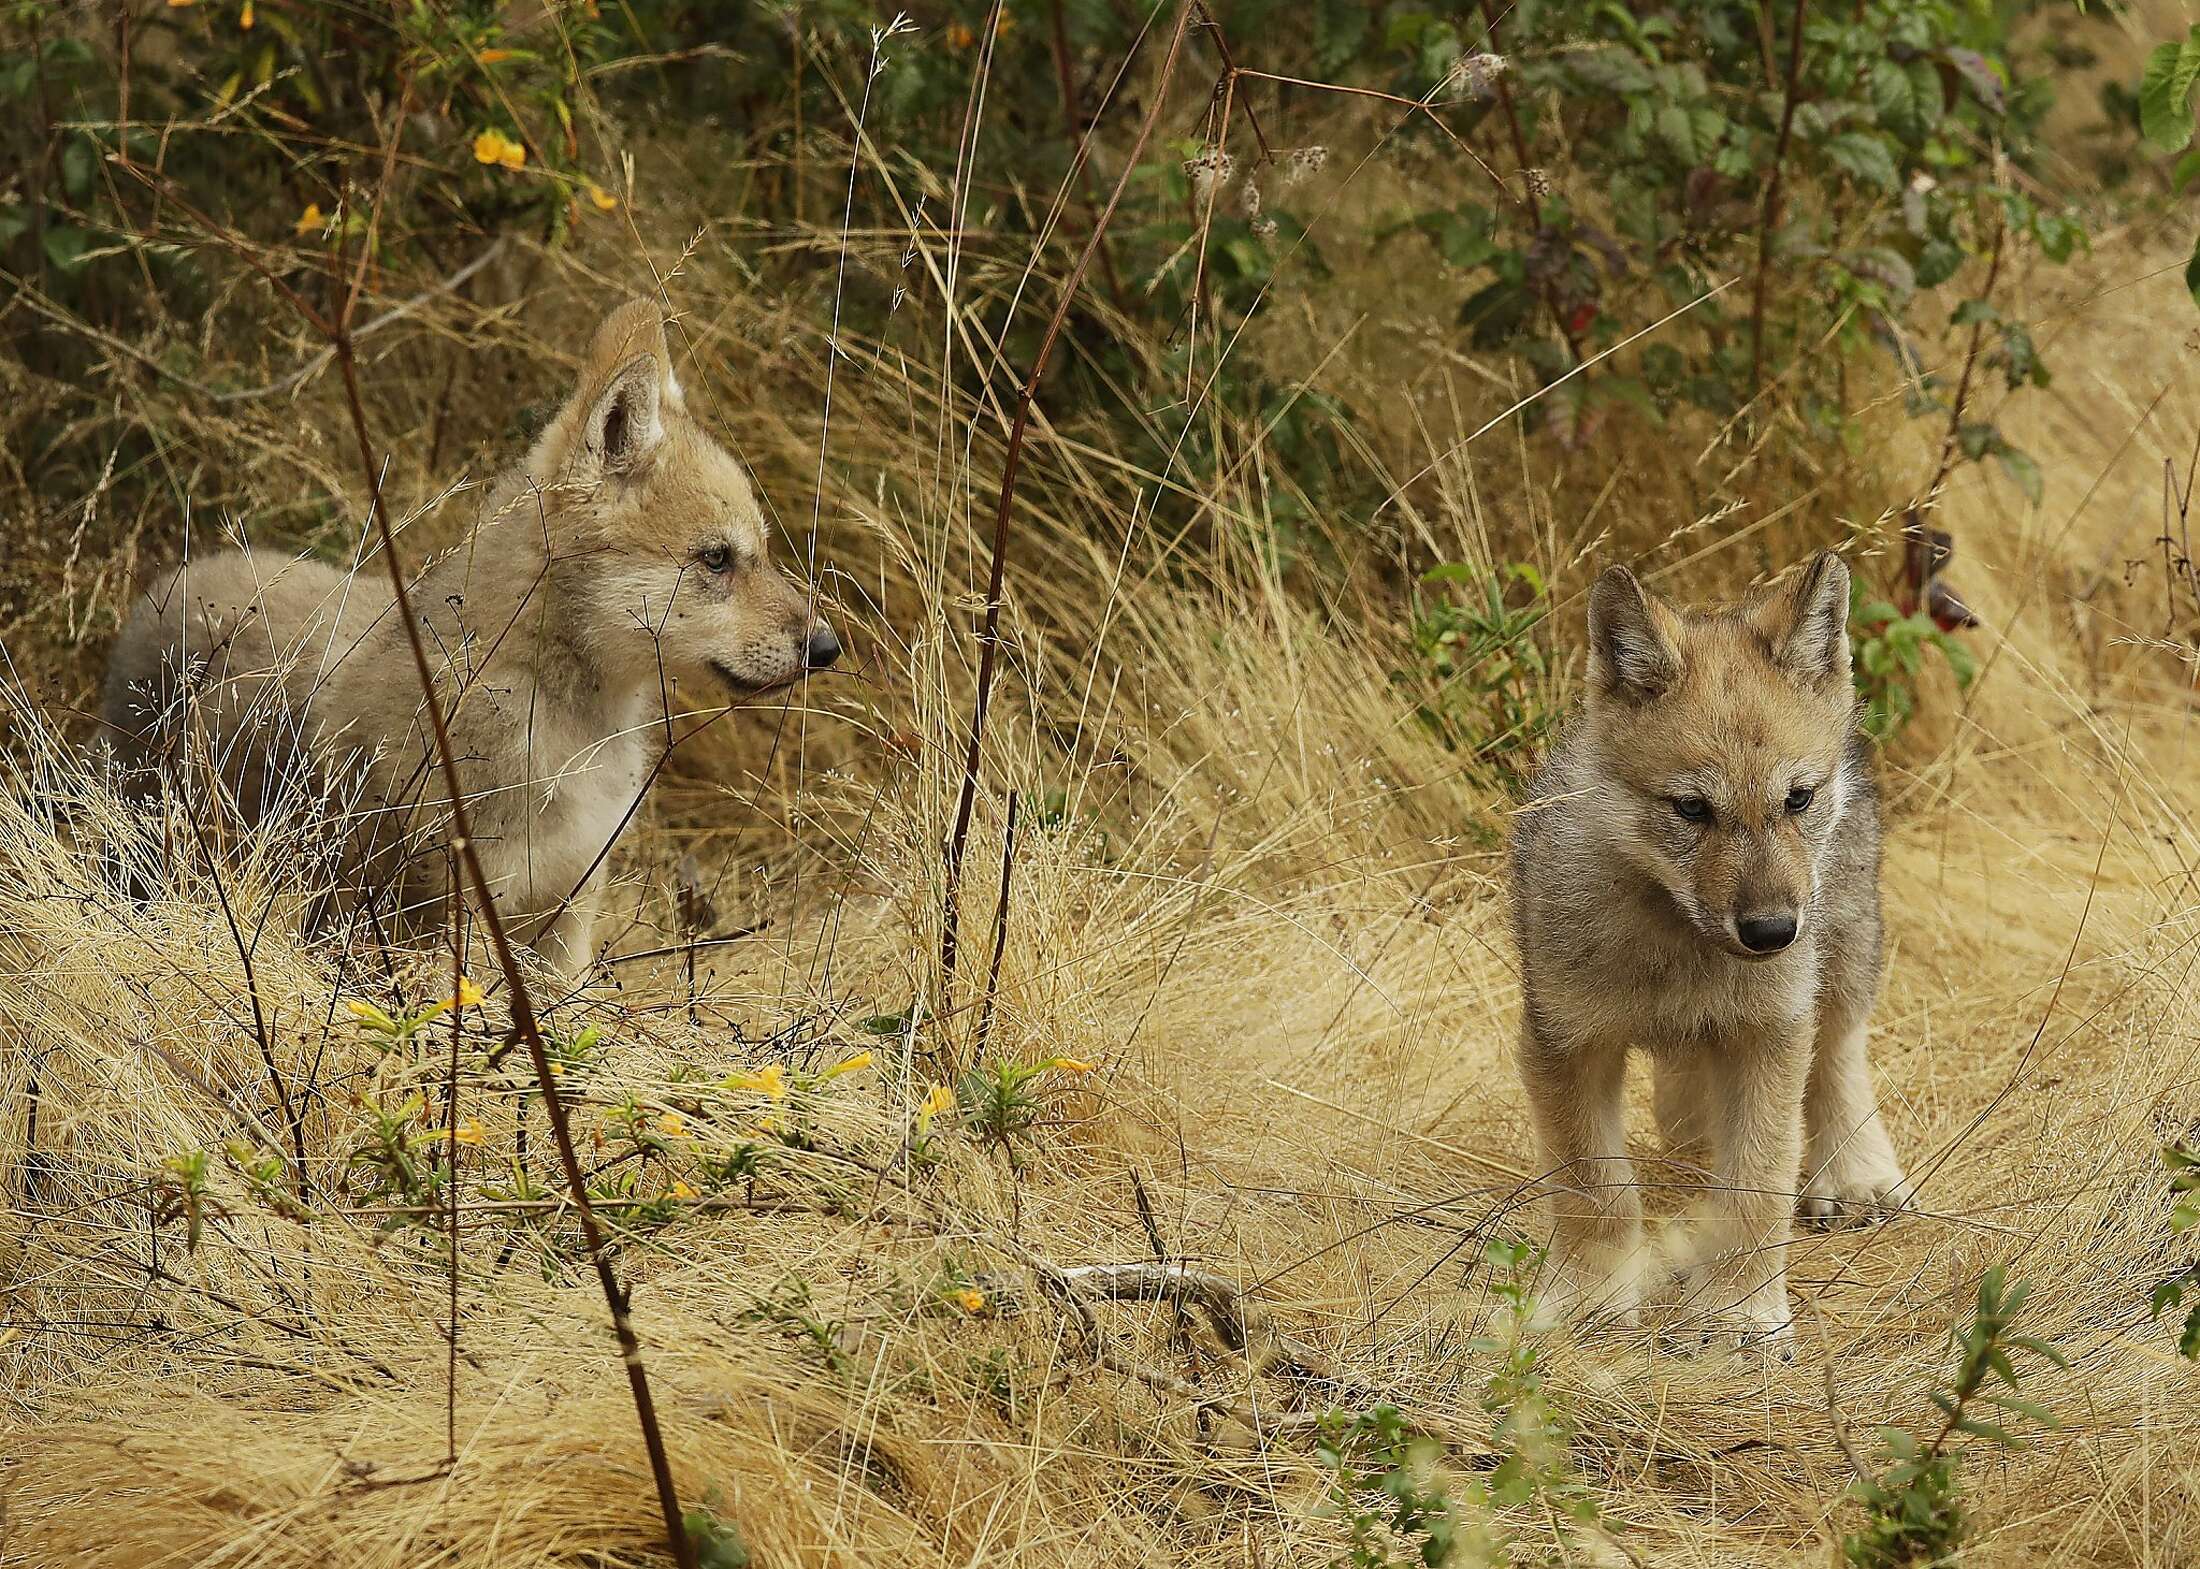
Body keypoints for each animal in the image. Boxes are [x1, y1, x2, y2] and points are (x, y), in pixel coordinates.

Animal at [100, 297, 839, 983]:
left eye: (760, 551)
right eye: (717, 559)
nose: (829, 648)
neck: (565, 725)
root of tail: (171, 580)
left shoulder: (569, 913)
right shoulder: (460, 917)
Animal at [1507, 551, 1909, 1349]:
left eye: (1797, 798)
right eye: (1692, 808)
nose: (1772, 933)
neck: (1679, 952)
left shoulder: (1768, 1034)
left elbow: (1756, 1186)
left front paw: (1740, 1313)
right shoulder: (1565, 1043)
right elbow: (1596, 1191)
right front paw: (1589, 1300)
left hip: (1843, 962)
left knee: (1840, 1056)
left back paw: (1855, 1173)